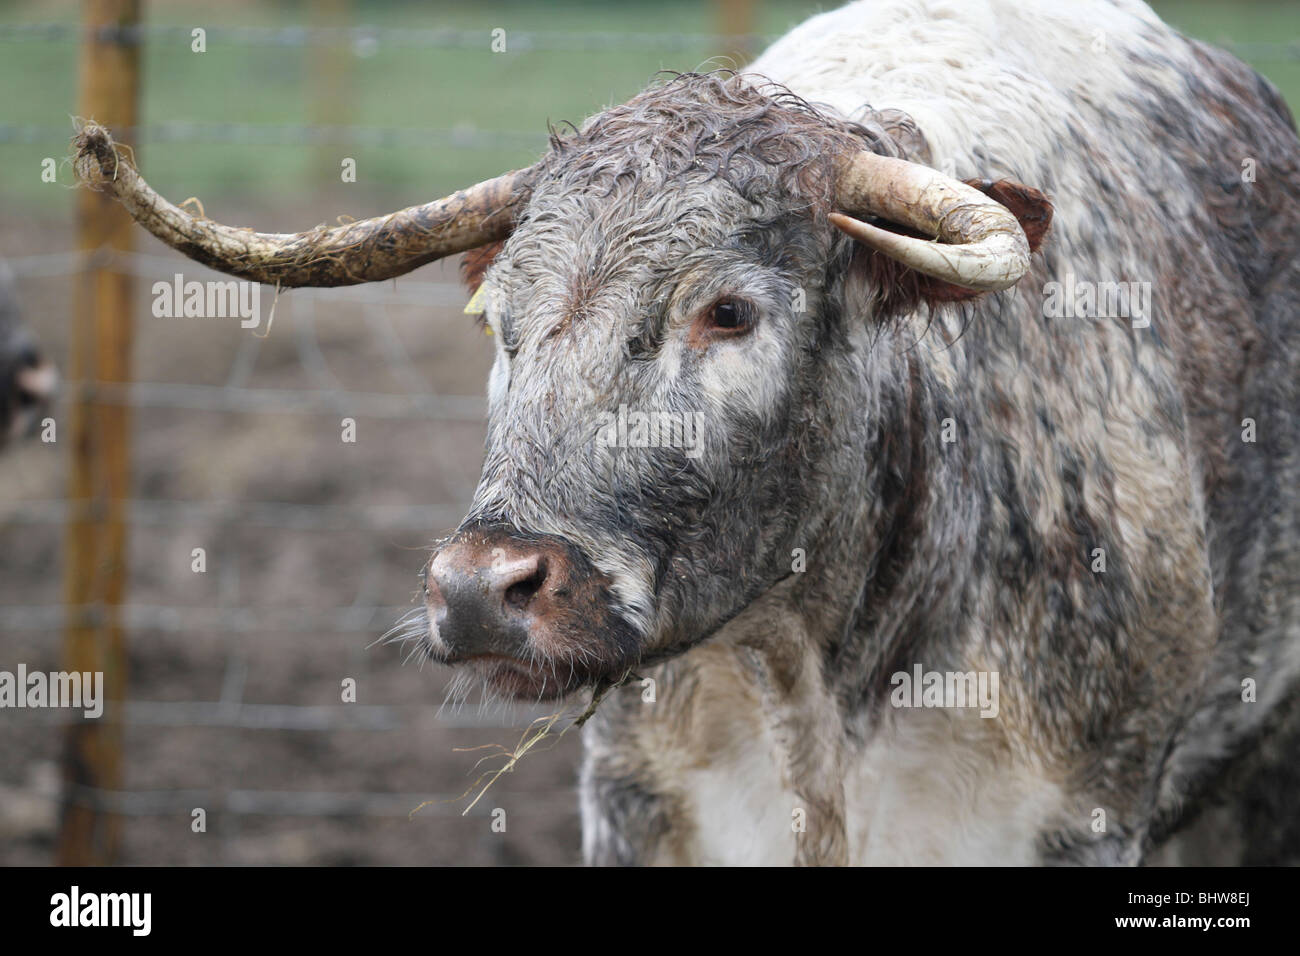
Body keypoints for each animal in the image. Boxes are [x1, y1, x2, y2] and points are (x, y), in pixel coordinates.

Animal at [72, 0, 1299, 865]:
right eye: (502, 320)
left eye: (730, 312)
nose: (479, 588)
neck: (812, 684)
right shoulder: (635, 807)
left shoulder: (1079, 819)